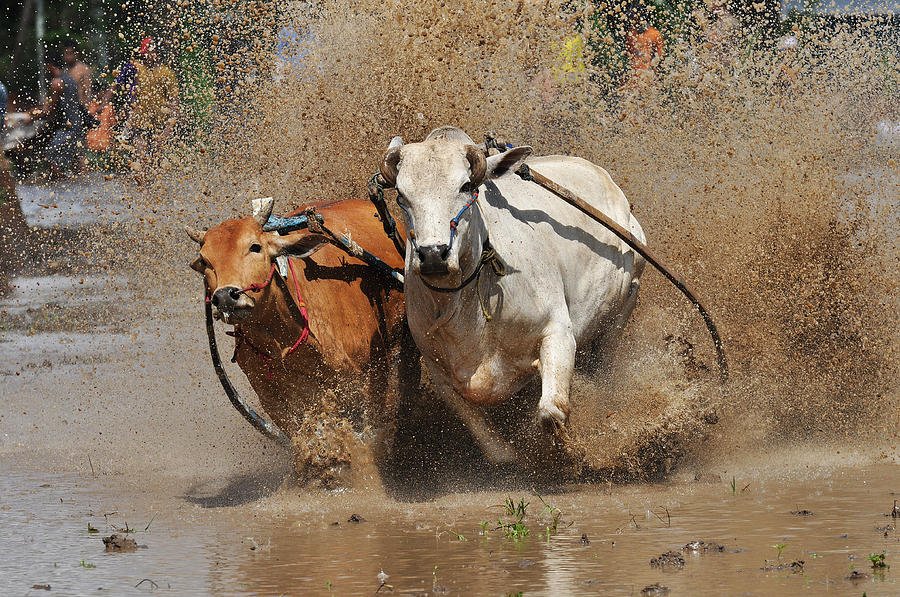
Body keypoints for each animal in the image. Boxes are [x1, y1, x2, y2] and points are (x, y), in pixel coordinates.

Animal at [186, 199, 417, 485]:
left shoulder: (372, 375)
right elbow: (305, 436)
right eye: (206, 261)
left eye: (254, 246)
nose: (226, 297)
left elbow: (369, 429)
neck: (283, 339)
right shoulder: (273, 398)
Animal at [379, 126, 646, 464]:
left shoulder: (558, 332)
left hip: (622, 309)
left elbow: (551, 412)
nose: (433, 255)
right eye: (402, 195)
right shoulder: (437, 369)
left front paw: (570, 453)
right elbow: (493, 448)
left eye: (466, 186)